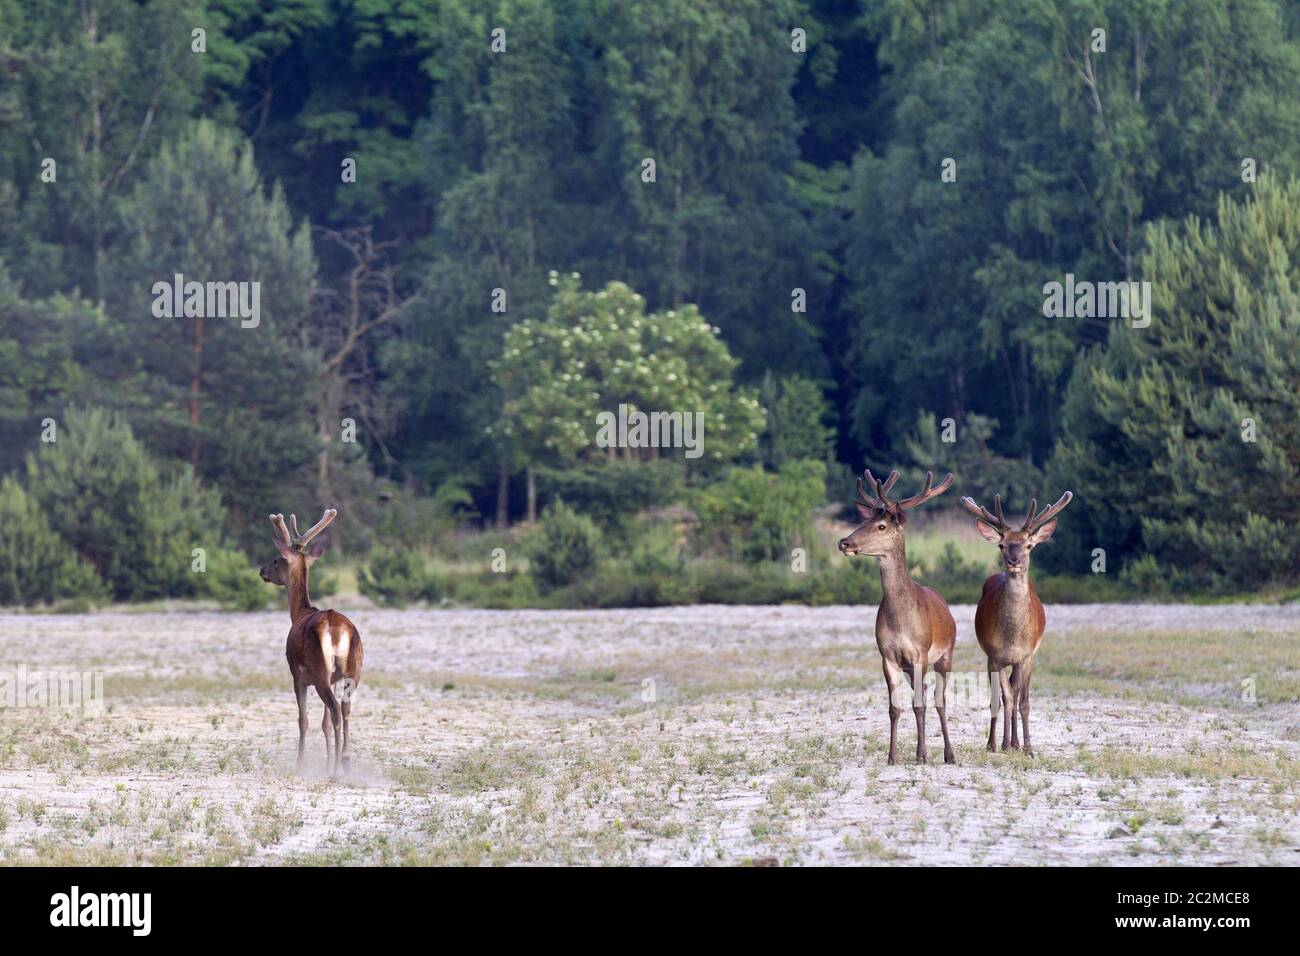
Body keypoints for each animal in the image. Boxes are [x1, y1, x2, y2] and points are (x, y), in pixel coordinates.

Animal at [259, 508, 363, 779]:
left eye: (277, 559)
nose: (262, 570)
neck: (300, 613)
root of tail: (337, 629)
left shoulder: (297, 675)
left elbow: (303, 720)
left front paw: (300, 764)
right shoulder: (334, 677)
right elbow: (323, 723)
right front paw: (325, 762)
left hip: (318, 671)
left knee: (335, 710)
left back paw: (337, 766)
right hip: (352, 669)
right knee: (345, 708)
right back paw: (345, 760)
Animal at [838, 469, 957, 765]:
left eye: (881, 526)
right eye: (864, 519)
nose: (844, 542)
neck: (901, 622)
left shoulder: (920, 653)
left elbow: (920, 705)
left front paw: (923, 755)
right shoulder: (888, 656)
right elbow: (895, 708)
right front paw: (893, 756)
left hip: (946, 653)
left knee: (938, 699)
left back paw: (949, 754)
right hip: (910, 666)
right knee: (923, 691)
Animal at [959, 491, 1072, 757]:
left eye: (1029, 545)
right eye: (1002, 545)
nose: (1014, 560)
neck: (1012, 636)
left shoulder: (1027, 655)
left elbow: (1024, 702)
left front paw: (1028, 748)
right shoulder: (995, 656)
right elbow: (1004, 699)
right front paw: (998, 744)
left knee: (1016, 690)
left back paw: (1016, 742)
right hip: (990, 659)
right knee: (1001, 696)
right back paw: (1002, 742)